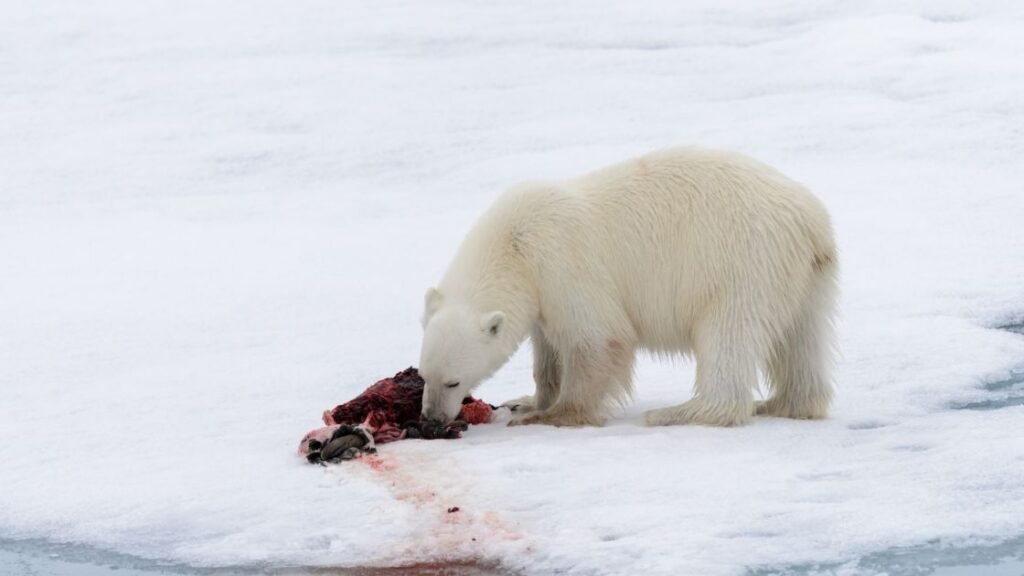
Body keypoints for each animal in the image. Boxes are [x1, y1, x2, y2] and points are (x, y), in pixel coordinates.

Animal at [418, 147, 838, 428]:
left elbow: (599, 339)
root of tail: (811, 221)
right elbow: (547, 350)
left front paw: (553, 415)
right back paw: (785, 403)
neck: (515, 245)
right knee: (802, 341)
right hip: (805, 279)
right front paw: (527, 401)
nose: (431, 418)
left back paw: (678, 412)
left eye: (453, 381)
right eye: (422, 375)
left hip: (742, 263)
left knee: (728, 336)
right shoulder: (543, 293)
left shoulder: (563, 262)